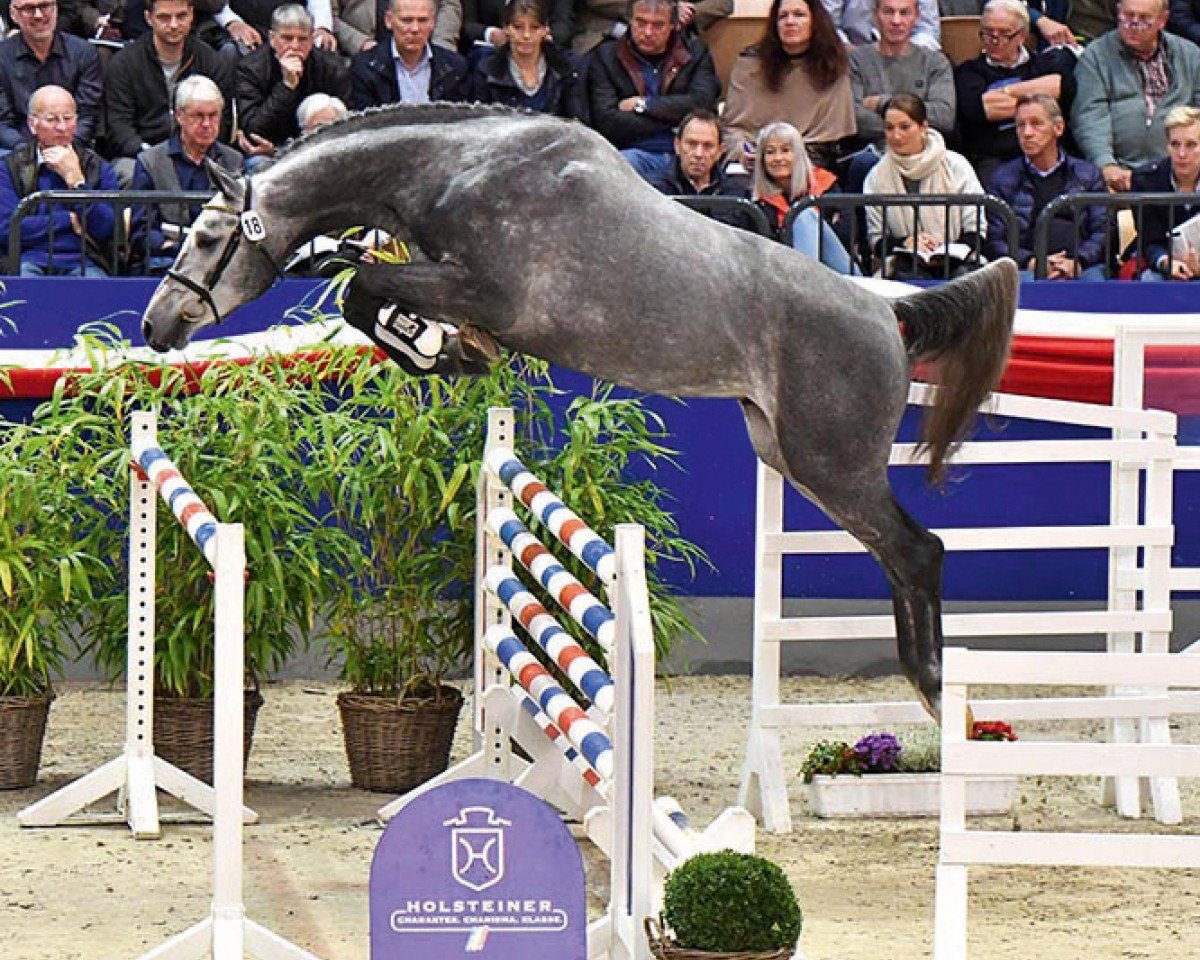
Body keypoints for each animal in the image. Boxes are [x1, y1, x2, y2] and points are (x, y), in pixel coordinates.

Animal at [140, 102, 1018, 717]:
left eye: (209, 239)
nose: (155, 326)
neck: (459, 169)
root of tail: (890, 314)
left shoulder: (481, 288)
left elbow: (365, 288)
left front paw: (439, 350)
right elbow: (365, 287)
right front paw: (444, 349)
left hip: (832, 464)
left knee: (918, 552)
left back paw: (933, 688)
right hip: (787, 455)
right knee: (900, 556)